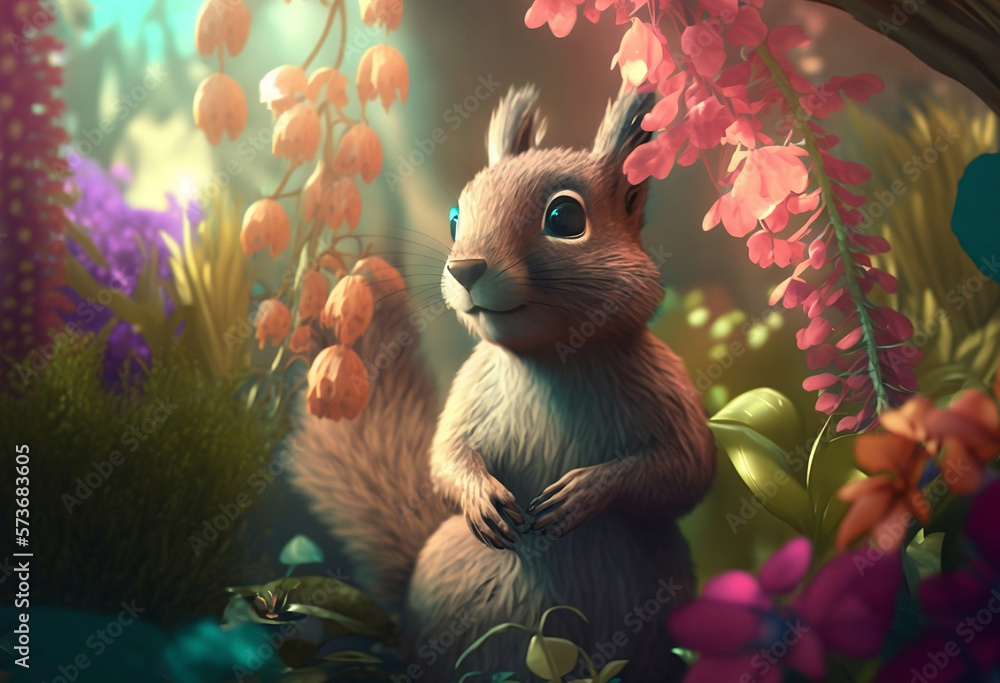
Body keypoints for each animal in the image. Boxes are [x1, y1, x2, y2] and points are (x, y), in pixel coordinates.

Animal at [291, 84, 716, 682]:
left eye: (565, 216)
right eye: (454, 218)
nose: (464, 268)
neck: (549, 358)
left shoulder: (664, 385)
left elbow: (684, 468)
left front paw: (582, 493)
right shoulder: (470, 389)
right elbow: (445, 457)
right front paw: (482, 499)